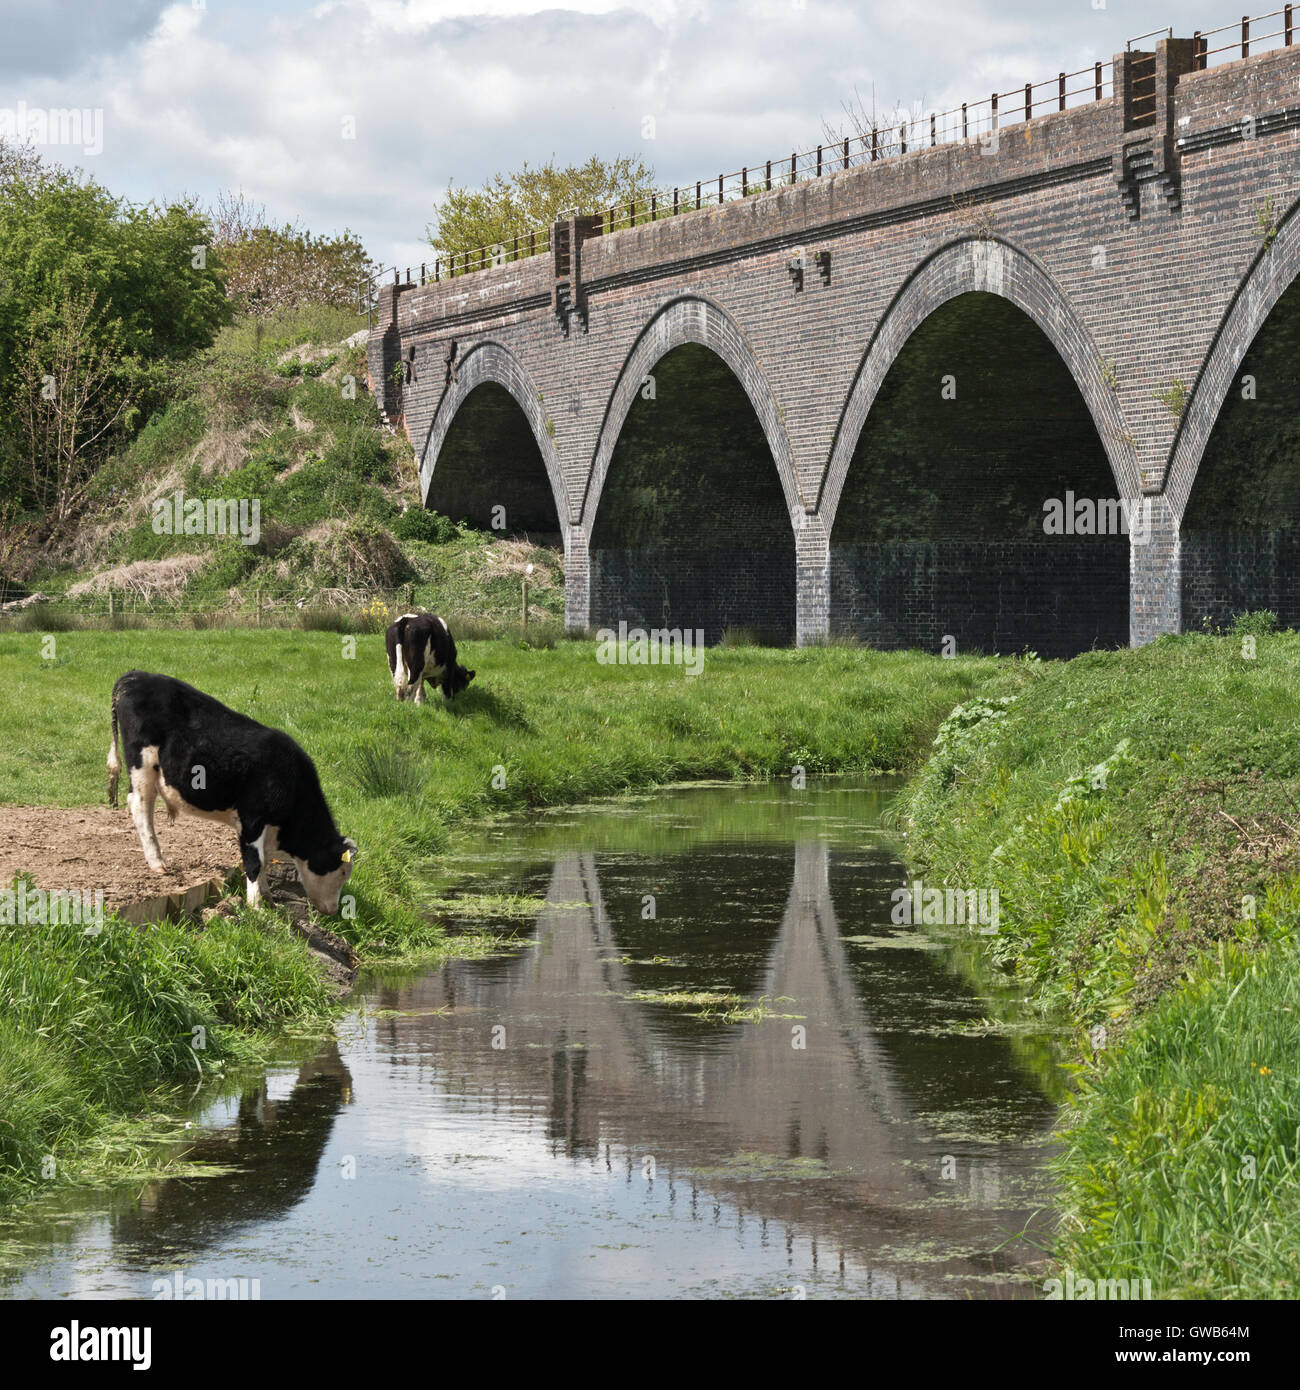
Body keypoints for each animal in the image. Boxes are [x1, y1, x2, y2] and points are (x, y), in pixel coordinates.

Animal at [107, 671, 357, 915]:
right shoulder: (252, 818)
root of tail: (134, 675)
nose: (333, 910)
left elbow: (264, 860)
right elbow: (255, 861)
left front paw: (268, 900)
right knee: (140, 804)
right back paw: (157, 861)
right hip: (142, 762)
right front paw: (256, 907)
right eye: (343, 872)